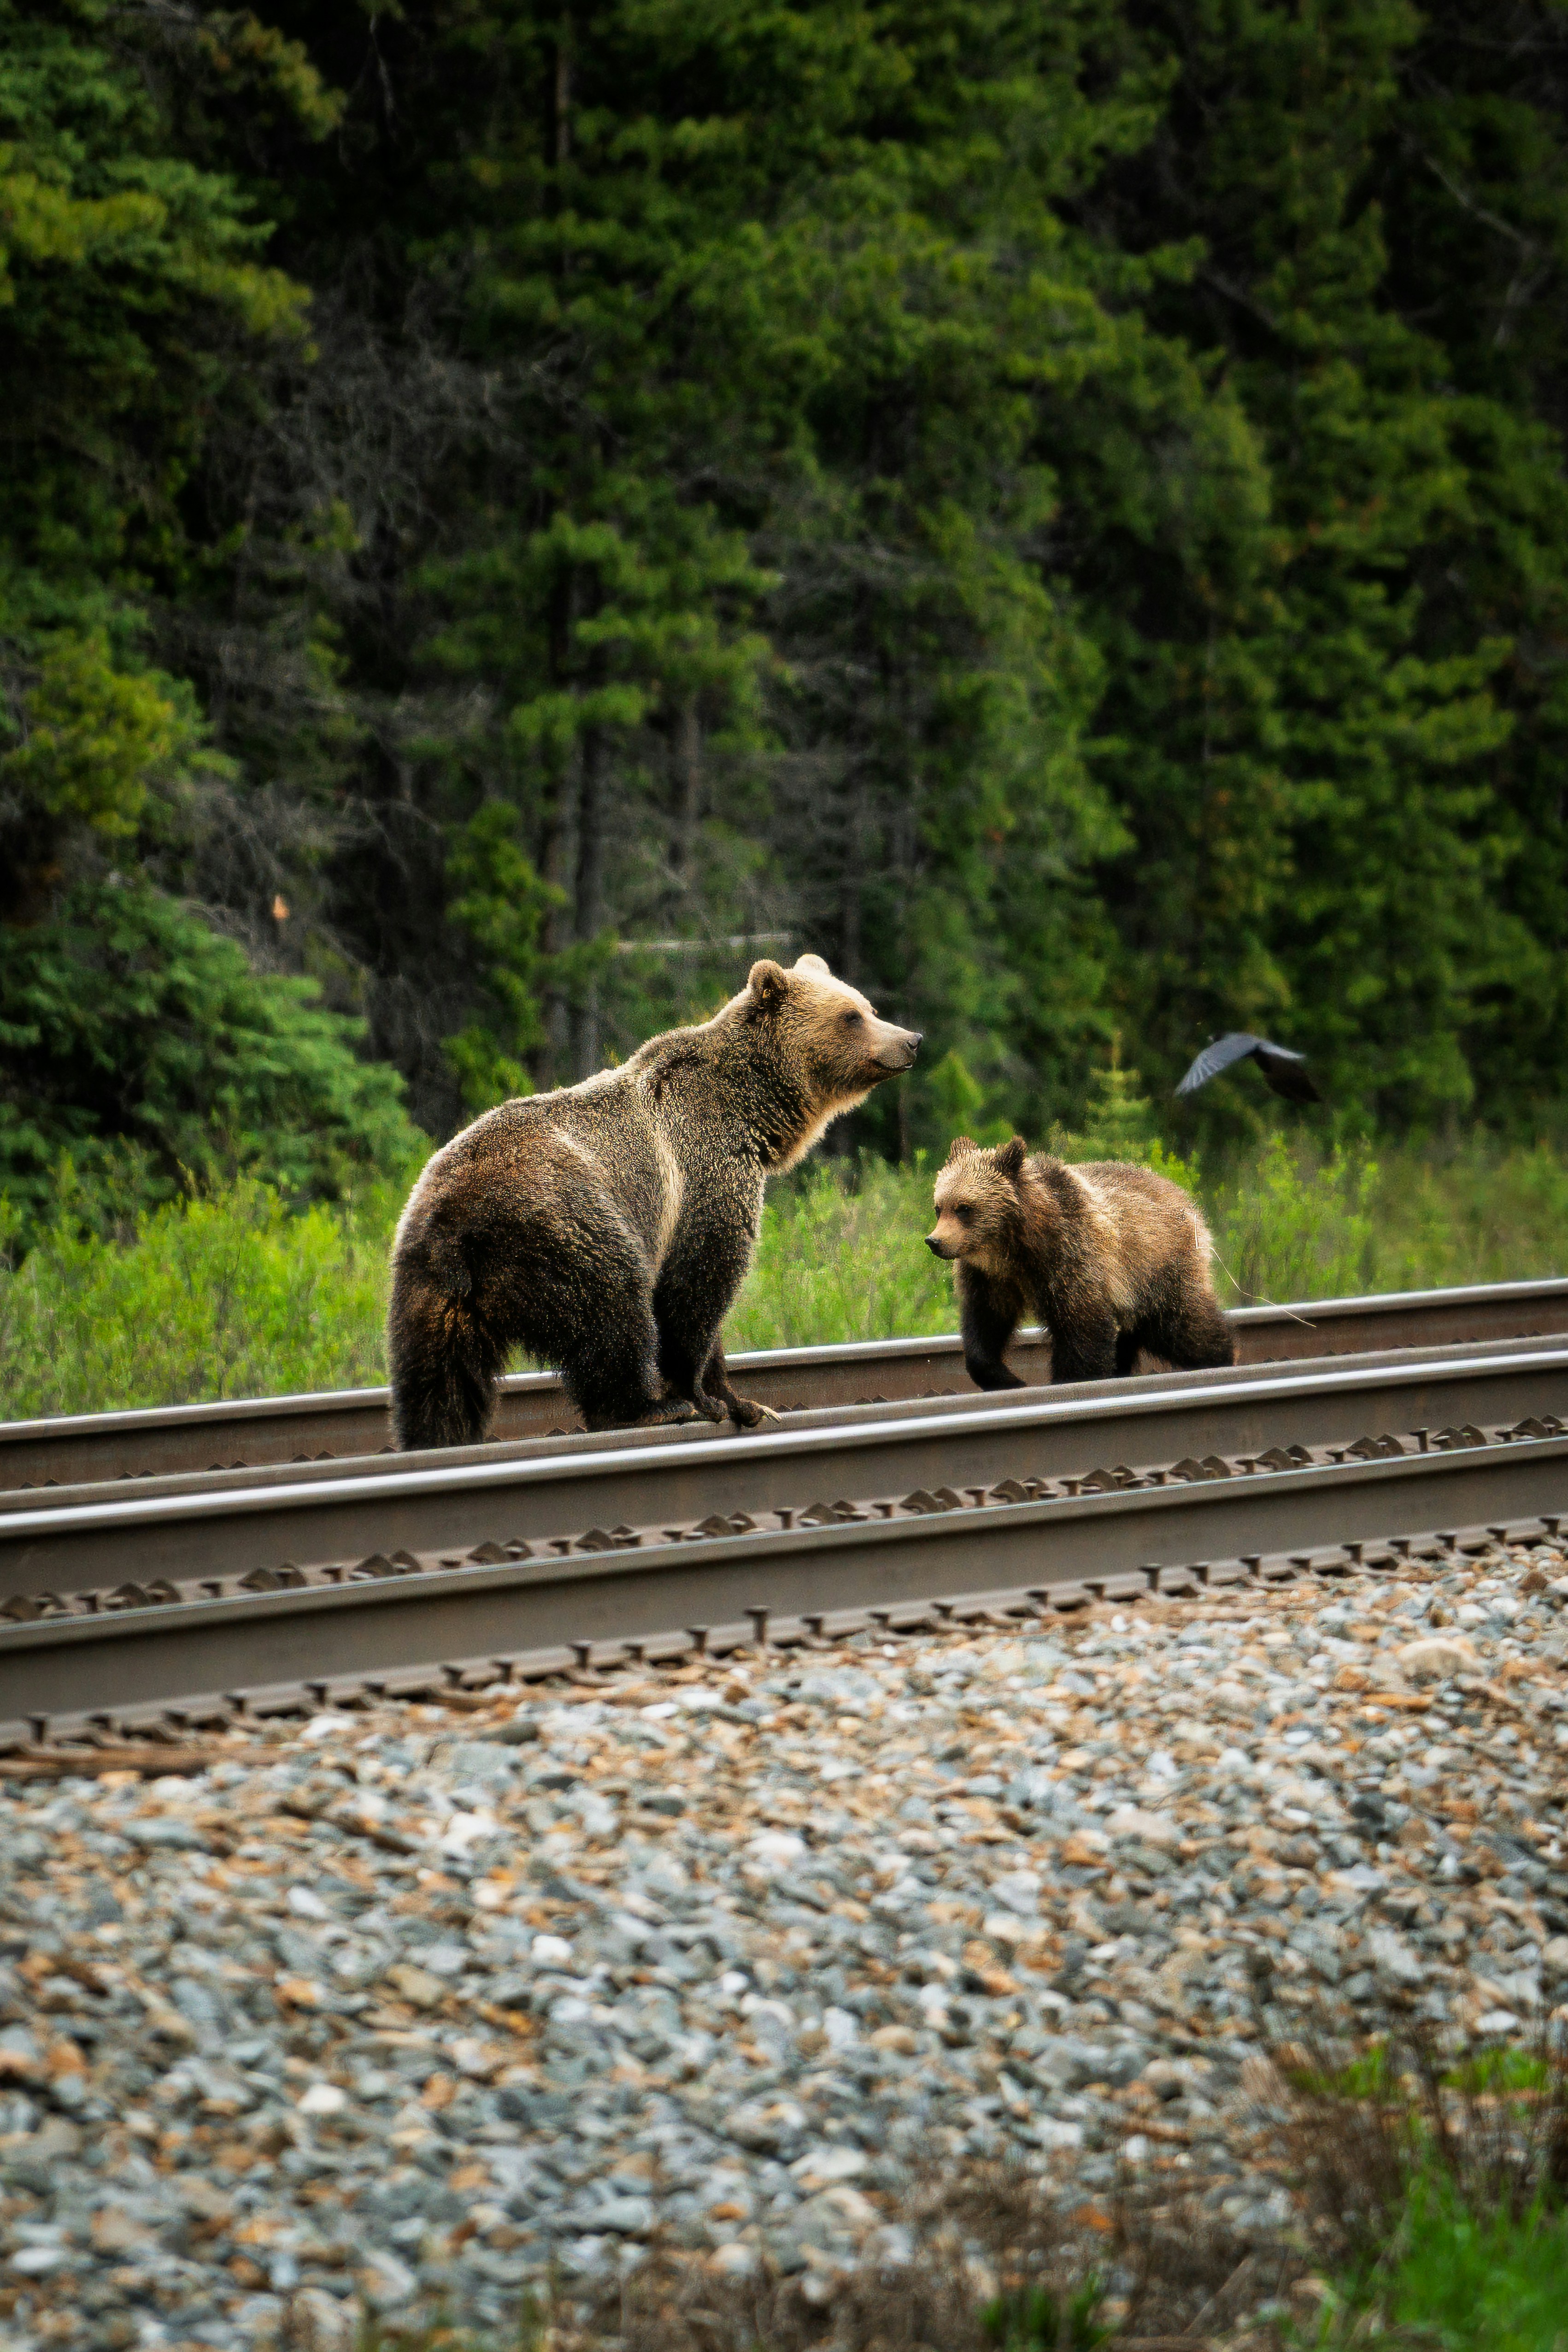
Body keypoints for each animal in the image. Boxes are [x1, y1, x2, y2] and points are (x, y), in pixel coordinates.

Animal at [387, 954, 921, 1448]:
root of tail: (455, 1218)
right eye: (850, 1016)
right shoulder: (704, 1171)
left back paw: (438, 1435)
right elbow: (700, 1283)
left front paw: (747, 1403)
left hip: (428, 1284)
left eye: (869, 1007)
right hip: (566, 1223)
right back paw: (649, 1408)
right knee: (613, 1307)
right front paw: (710, 1397)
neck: (751, 1110)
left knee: (441, 1374)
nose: (911, 1039)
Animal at [924, 1136, 1235, 1389]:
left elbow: (1083, 1330)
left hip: (1156, 1269)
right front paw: (1007, 1379)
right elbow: (985, 1325)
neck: (1015, 1250)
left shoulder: (1072, 1260)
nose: (935, 1241)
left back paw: (1221, 1356)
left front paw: (1071, 1379)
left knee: (1183, 1326)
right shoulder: (990, 1278)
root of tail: (1182, 1195)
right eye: (939, 1208)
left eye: (965, 1208)